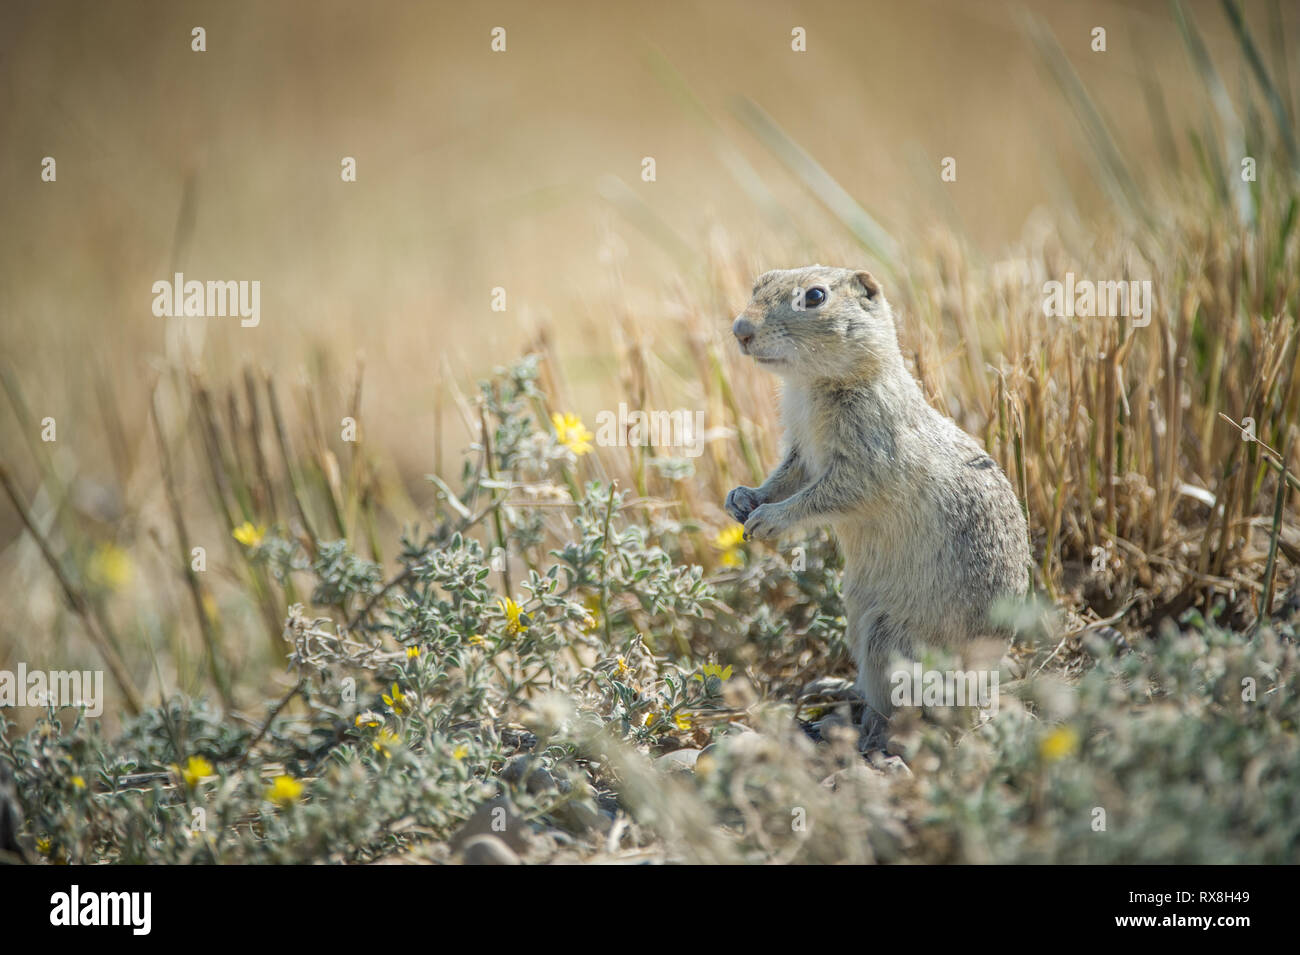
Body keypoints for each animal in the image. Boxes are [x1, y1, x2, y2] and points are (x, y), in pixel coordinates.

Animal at [725, 266, 1030, 738]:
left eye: (815, 296)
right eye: (760, 282)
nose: (740, 329)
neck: (814, 385)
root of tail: (979, 685)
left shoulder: (865, 464)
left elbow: (825, 496)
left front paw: (768, 519)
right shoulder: (801, 454)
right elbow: (783, 477)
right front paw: (742, 498)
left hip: (885, 637)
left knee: (904, 706)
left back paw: (863, 725)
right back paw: (833, 688)